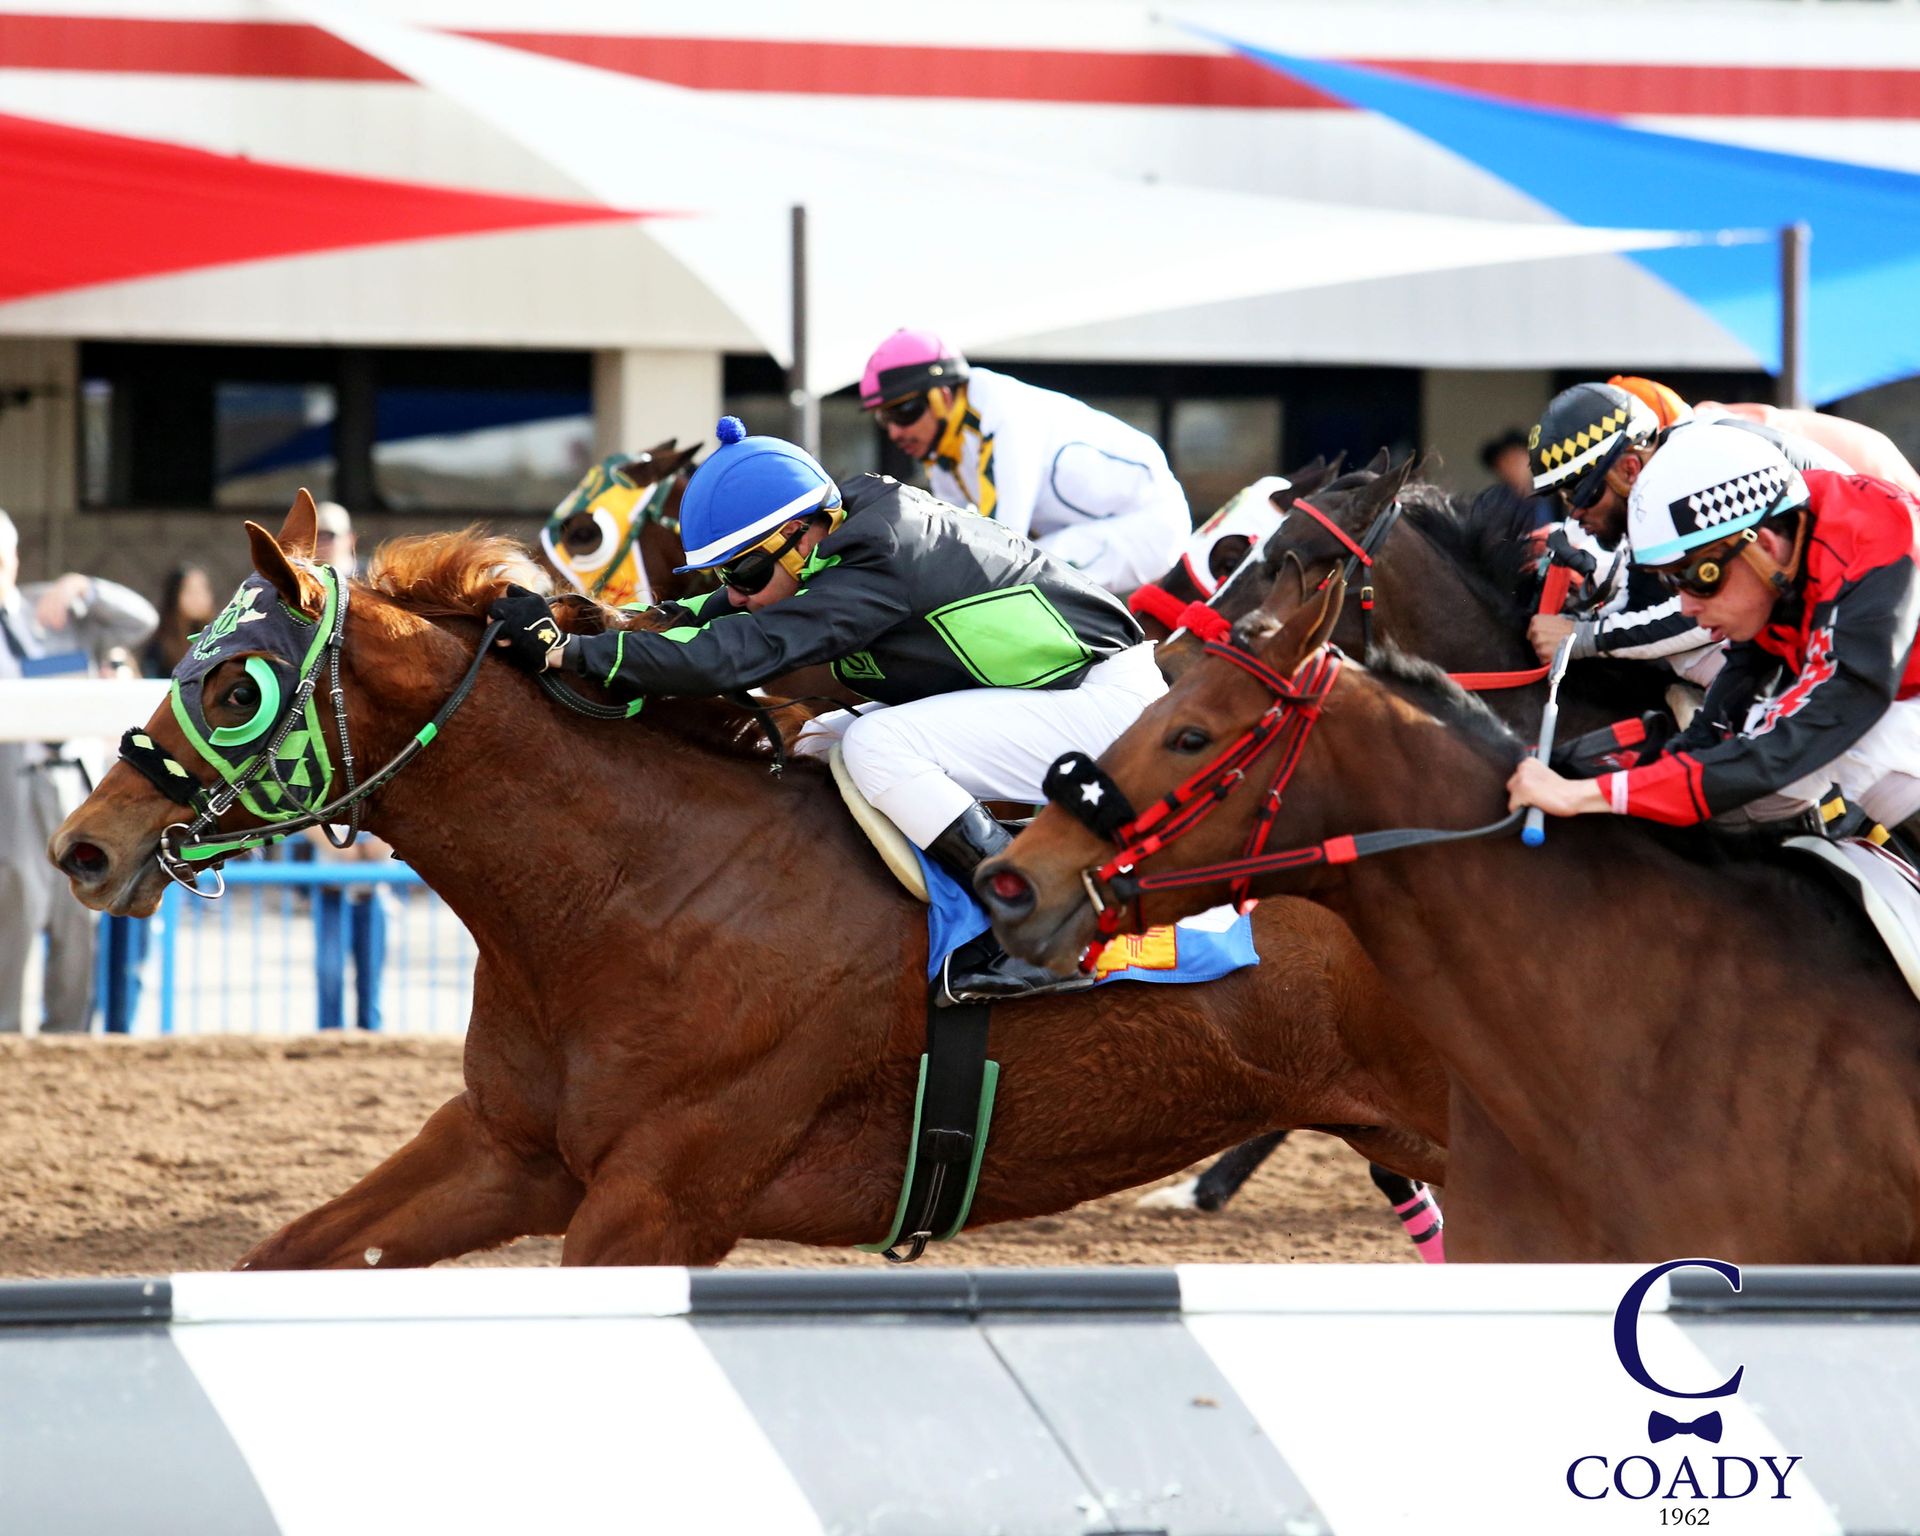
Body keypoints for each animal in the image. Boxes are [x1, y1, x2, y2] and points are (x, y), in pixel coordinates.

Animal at [49, 497, 1447, 1268]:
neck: (635, 889)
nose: (84, 847)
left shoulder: (659, 1202)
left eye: (235, 685)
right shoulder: (506, 1150)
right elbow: (281, 1257)